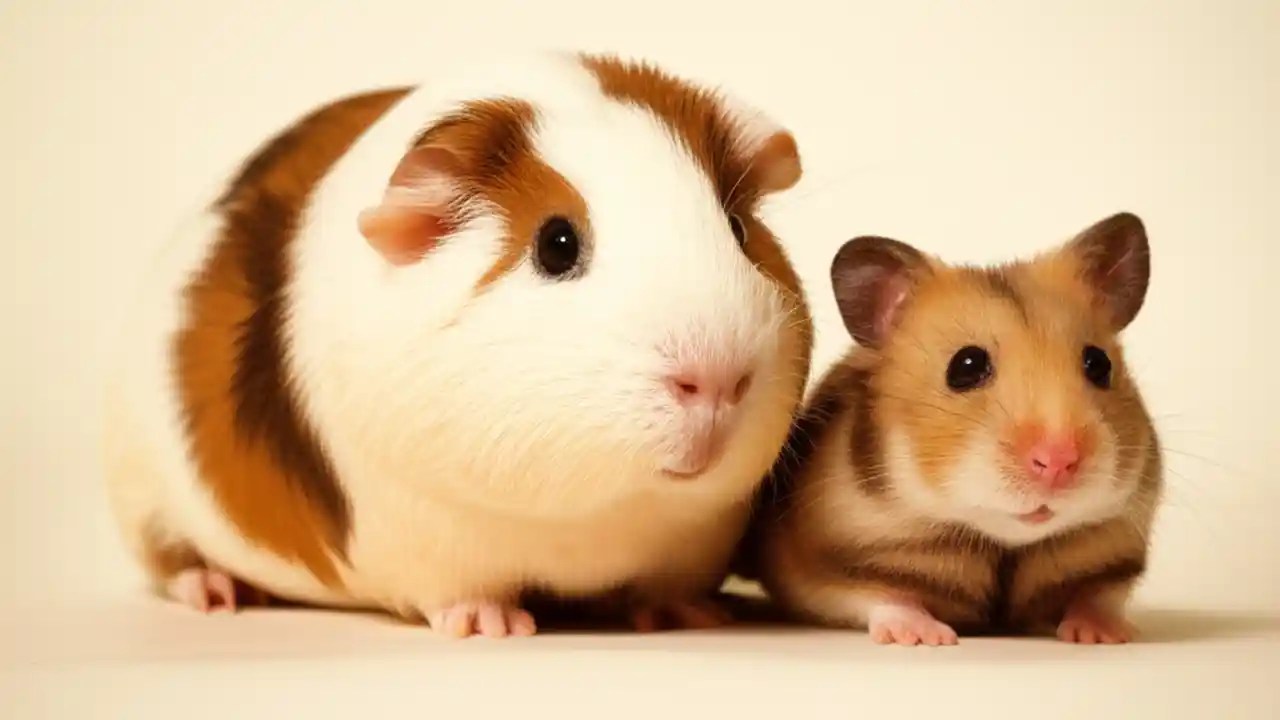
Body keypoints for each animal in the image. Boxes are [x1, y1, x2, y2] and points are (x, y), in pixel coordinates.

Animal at [103, 51, 813, 637]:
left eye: (736, 228)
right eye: (556, 244)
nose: (716, 380)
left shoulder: (693, 540)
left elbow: (664, 585)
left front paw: (692, 617)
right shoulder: (431, 545)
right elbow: (460, 593)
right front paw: (491, 627)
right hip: (145, 500)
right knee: (170, 562)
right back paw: (218, 594)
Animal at [749, 212, 1159, 645]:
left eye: (1099, 364)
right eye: (966, 366)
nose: (1059, 462)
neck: (1003, 543)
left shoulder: (1117, 549)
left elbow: (1099, 595)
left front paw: (1103, 636)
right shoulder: (826, 567)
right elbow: (882, 596)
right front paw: (928, 637)